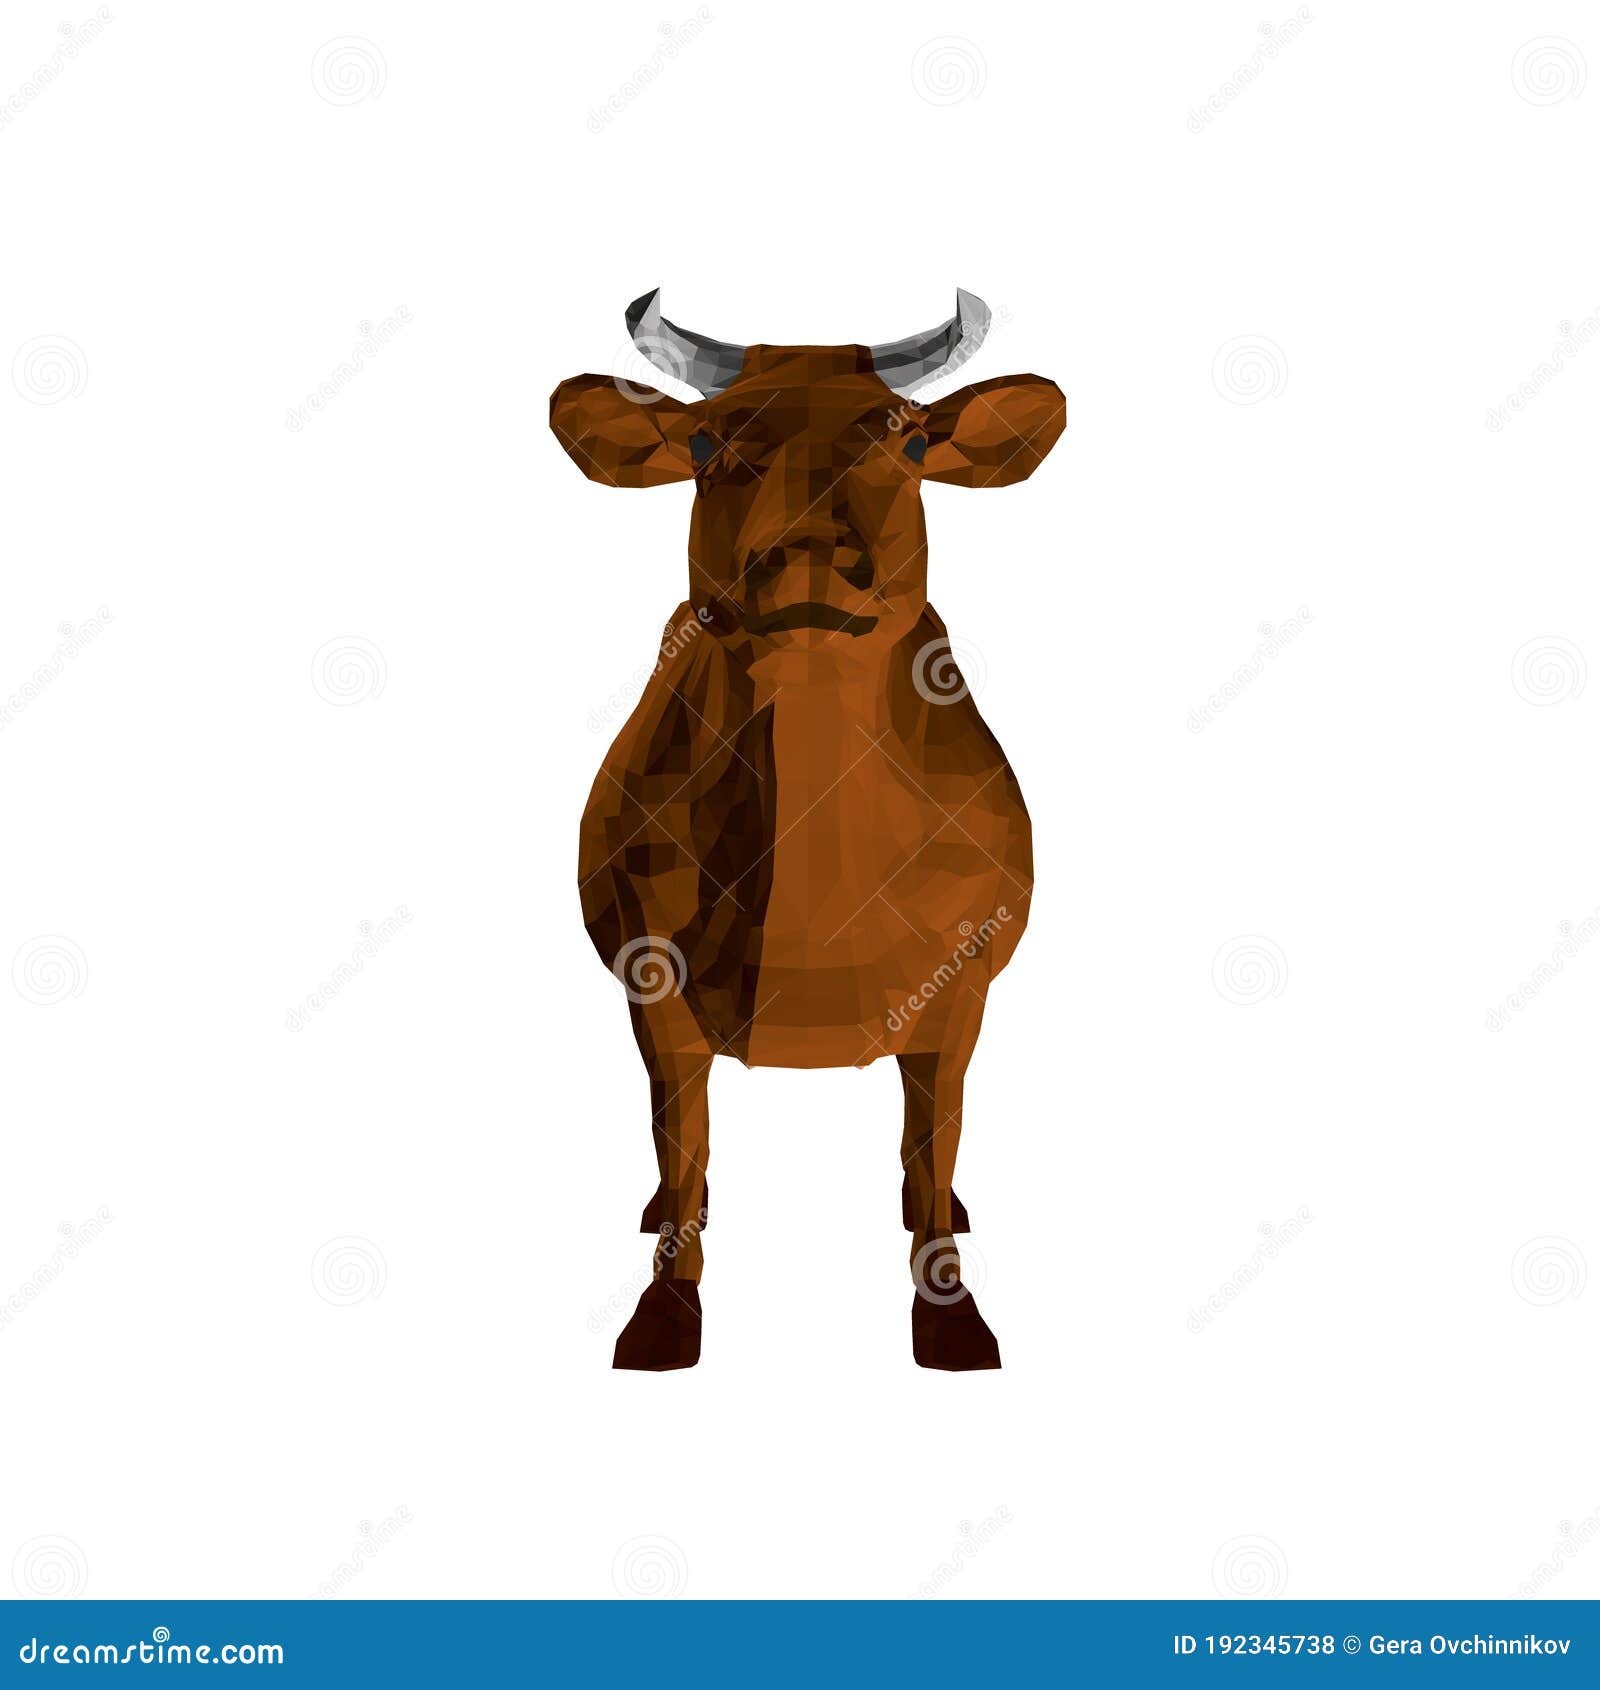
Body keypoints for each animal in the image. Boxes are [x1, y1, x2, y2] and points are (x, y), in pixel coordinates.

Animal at [551, 290, 1065, 1370]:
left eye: (908, 442)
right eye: (706, 442)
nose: (807, 555)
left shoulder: (963, 988)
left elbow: (932, 1143)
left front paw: (949, 1309)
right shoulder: (651, 984)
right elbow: (684, 1140)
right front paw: (666, 1309)